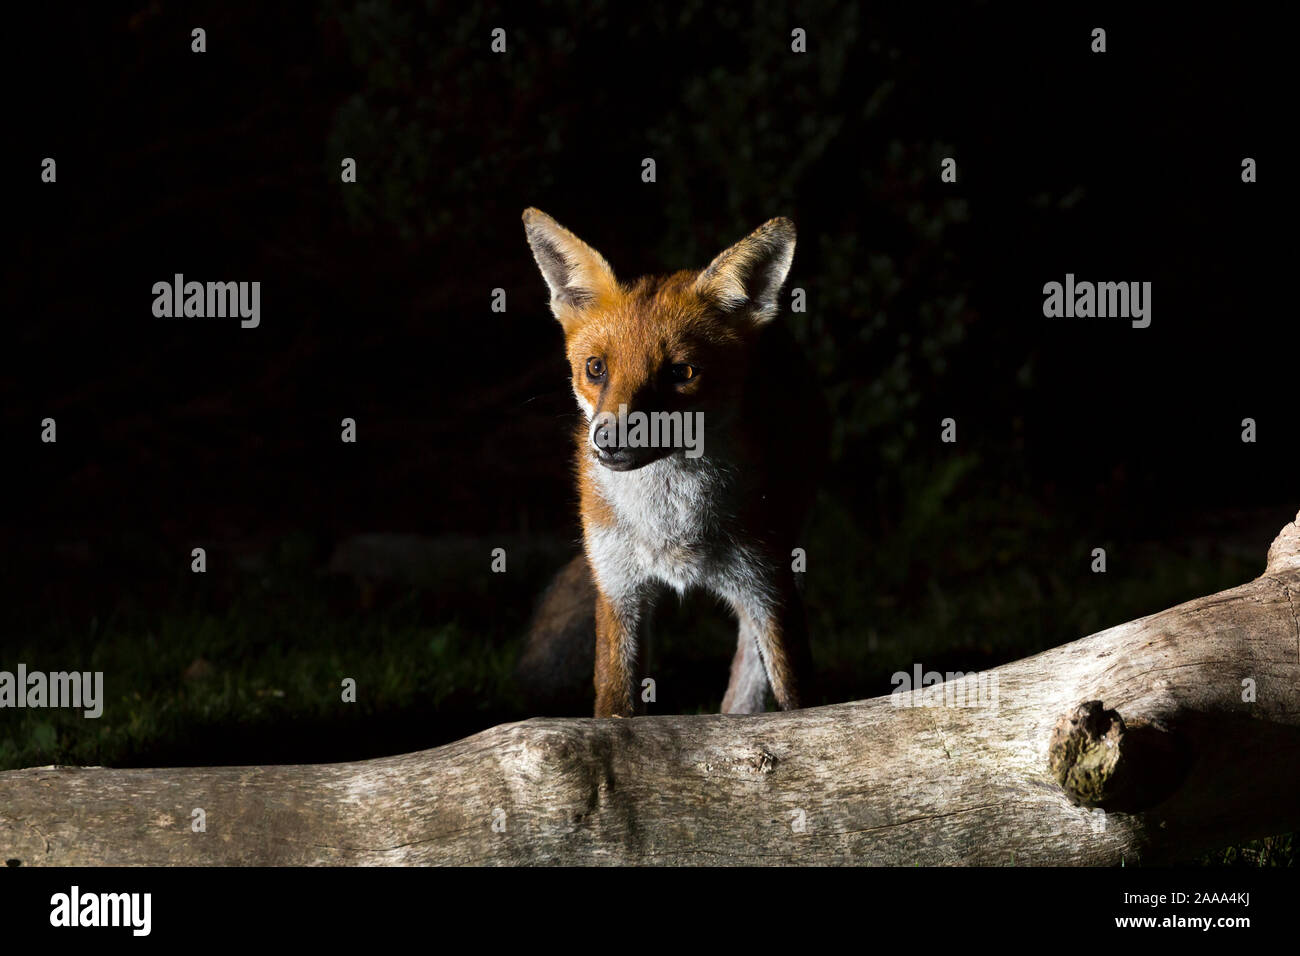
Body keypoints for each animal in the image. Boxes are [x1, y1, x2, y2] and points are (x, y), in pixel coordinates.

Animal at [521, 208, 826, 718]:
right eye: (596, 368)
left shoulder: (766, 583)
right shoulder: (618, 588)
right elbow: (615, 704)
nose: (608, 441)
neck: (669, 524)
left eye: (681, 373)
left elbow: (799, 701)